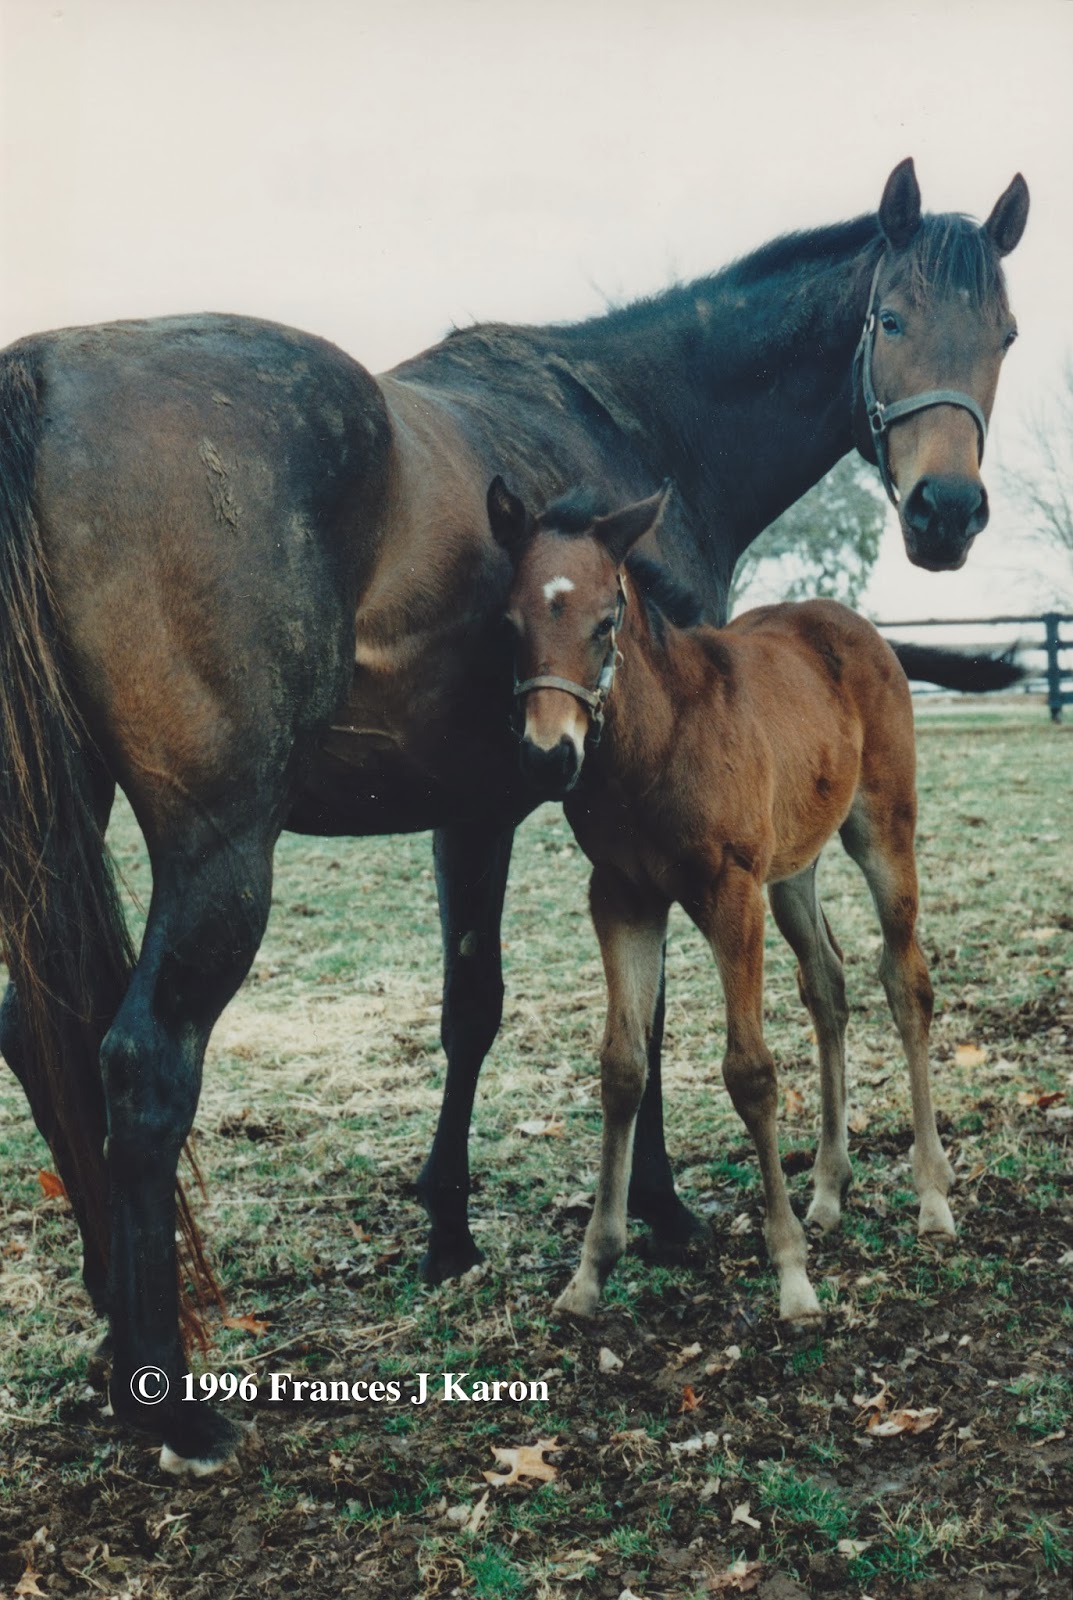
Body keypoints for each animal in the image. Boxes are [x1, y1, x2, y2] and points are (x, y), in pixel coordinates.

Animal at [488, 476, 951, 1323]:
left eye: (606, 620)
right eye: (509, 623)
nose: (548, 757)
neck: (658, 744)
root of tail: (843, 619)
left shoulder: (729, 894)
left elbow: (750, 1071)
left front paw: (791, 1274)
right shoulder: (621, 898)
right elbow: (622, 1067)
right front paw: (589, 1271)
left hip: (881, 830)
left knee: (905, 981)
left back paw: (931, 1195)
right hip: (791, 867)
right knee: (826, 983)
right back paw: (827, 1191)